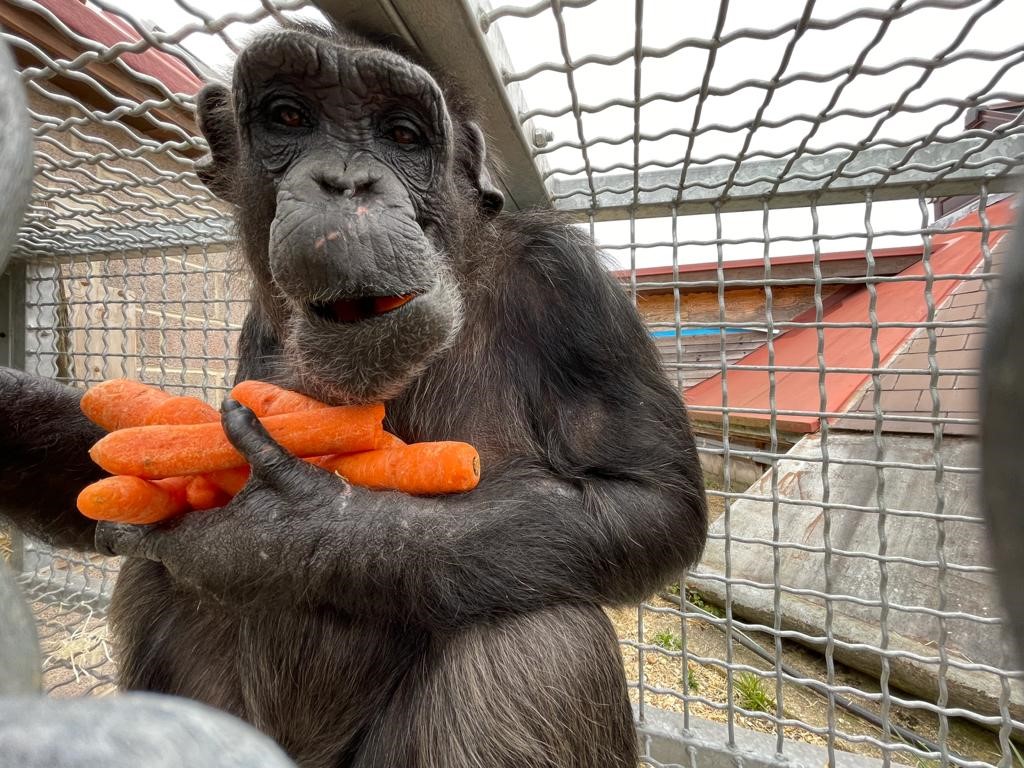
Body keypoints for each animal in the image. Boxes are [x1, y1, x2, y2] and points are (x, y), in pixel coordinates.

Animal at [0, 22, 707, 768]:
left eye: (401, 134)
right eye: (289, 118)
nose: (345, 182)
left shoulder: (568, 289)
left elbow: (647, 496)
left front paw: (286, 535)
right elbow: (113, 463)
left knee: (542, 641)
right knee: (149, 577)